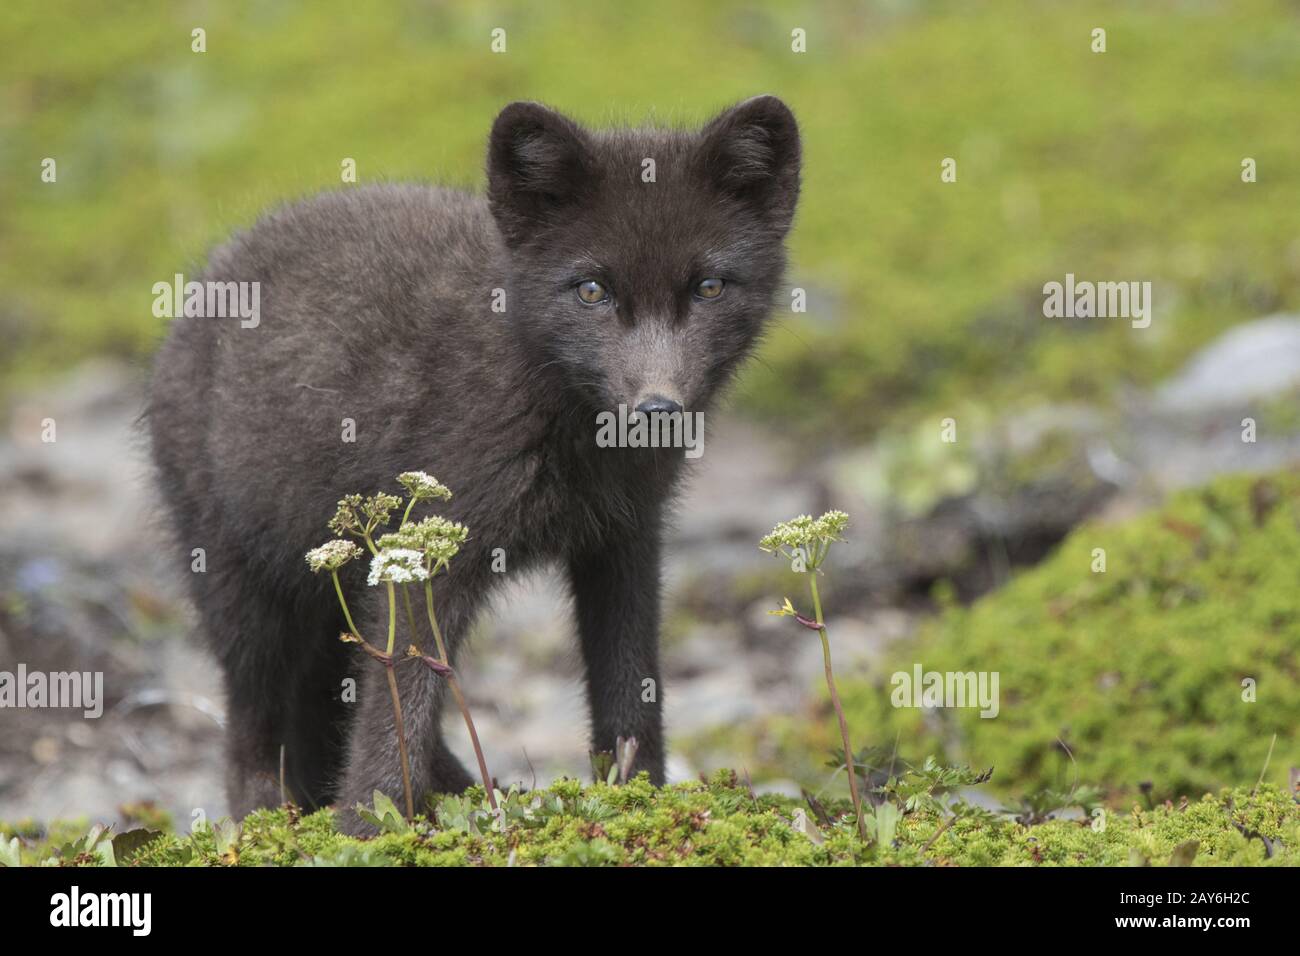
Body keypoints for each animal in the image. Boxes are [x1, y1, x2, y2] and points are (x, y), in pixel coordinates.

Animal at [147, 95, 801, 833]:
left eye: (709, 286)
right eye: (592, 290)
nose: (656, 409)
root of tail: (203, 286)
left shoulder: (626, 541)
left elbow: (632, 695)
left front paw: (639, 802)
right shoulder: (423, 555)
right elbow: (396, 715)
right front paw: (365, 831)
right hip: (244, 586)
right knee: (253, 730)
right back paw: (266, 823)